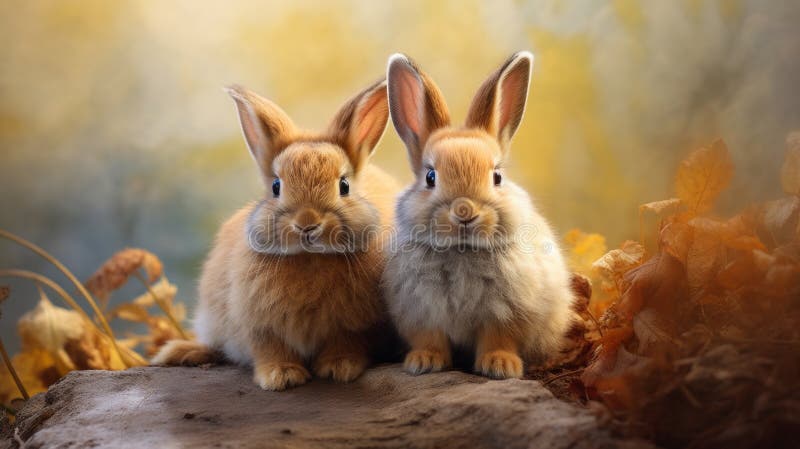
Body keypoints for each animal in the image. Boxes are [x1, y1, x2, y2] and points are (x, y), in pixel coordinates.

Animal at [151, 78, 400, 390]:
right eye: (276, 187)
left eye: (344, 186)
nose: (307, 224)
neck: (310, 258)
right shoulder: (260, 326)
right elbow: (270, 349)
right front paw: (281, 376)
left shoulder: (353, 326)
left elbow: (345, 343)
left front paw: (339, 368)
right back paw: (181, 352)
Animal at [382, 52, 574, 380]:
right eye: (430, 177)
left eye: (497, 177)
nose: (465, 212)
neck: (462, 251)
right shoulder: (419, 311)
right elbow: (430, 338)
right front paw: (423, 361)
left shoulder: (506, 313)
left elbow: (498, 338)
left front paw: (500, 366)